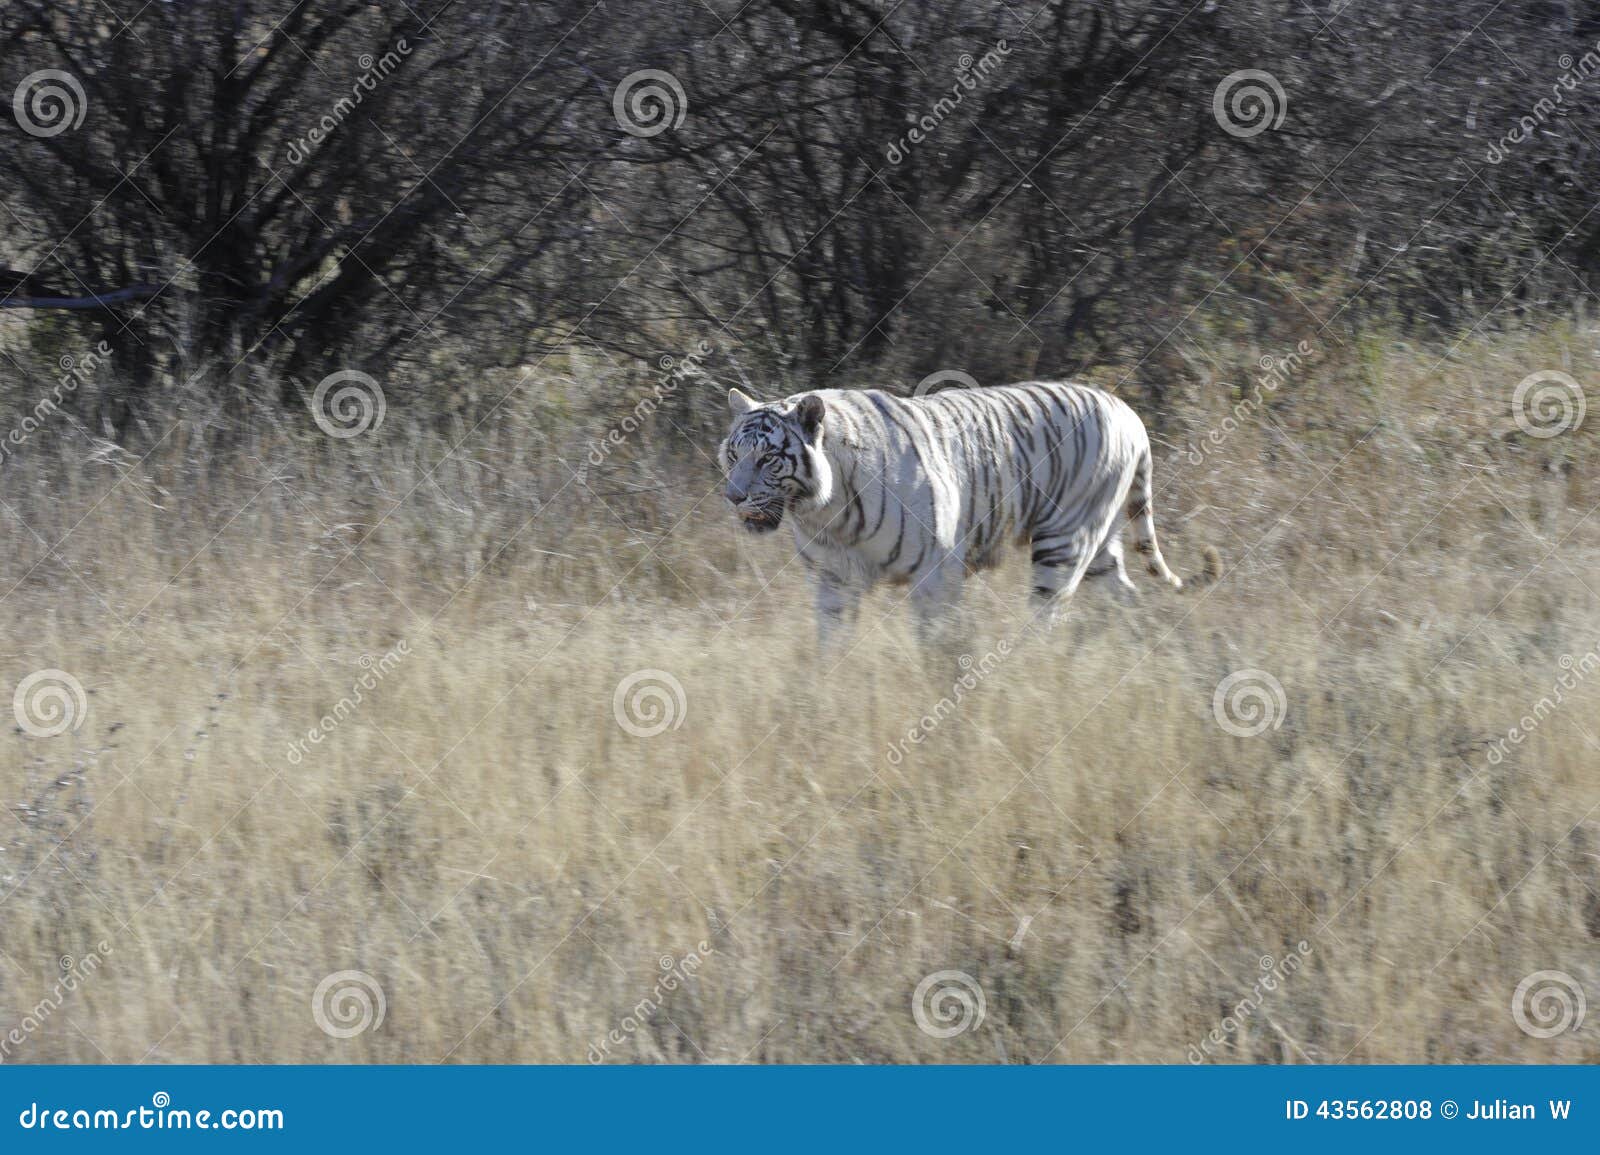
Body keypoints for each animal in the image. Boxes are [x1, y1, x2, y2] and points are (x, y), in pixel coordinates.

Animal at [718, 381, 1218, 642]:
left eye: (767, 458)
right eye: (734, 454)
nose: (733, 497)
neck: (828, 513)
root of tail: (1129, 412)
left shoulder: (935, 575)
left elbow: (938, 649)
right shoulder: (832, 581)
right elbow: (829, 649)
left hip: (1064, 543)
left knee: (1047, 619)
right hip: (1100, 546)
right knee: (1126, 598)